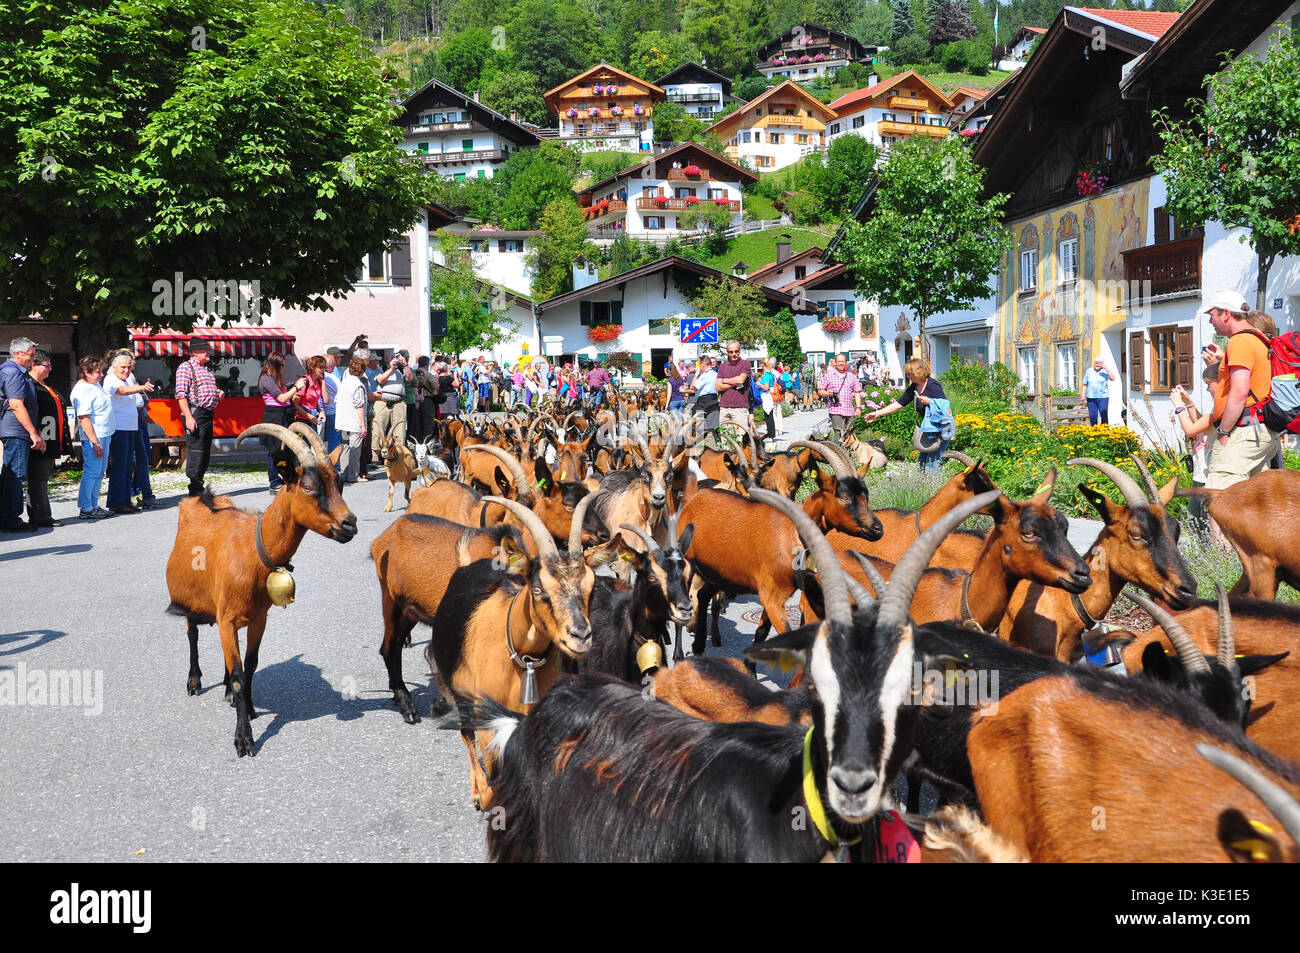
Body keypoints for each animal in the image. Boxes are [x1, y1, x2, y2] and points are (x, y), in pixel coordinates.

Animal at [164, 422, 357, 757]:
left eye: (340, 483)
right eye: (308, 487)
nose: (350, 524)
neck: (254, 550)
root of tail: (201, 498)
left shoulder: (258, 618)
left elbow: (249, 666)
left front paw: (249, 708)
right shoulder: (227, 618)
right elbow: (239, 676)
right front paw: (244, 738)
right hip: (191, 601)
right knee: (192, 634)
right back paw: (194, 682)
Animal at [428, 492, 602, 809]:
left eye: (591, 588)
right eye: (538, 589)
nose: (580, 636)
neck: (522, 661)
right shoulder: (490, 724)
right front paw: (487, 797)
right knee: (466, 734)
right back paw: (477, 788)